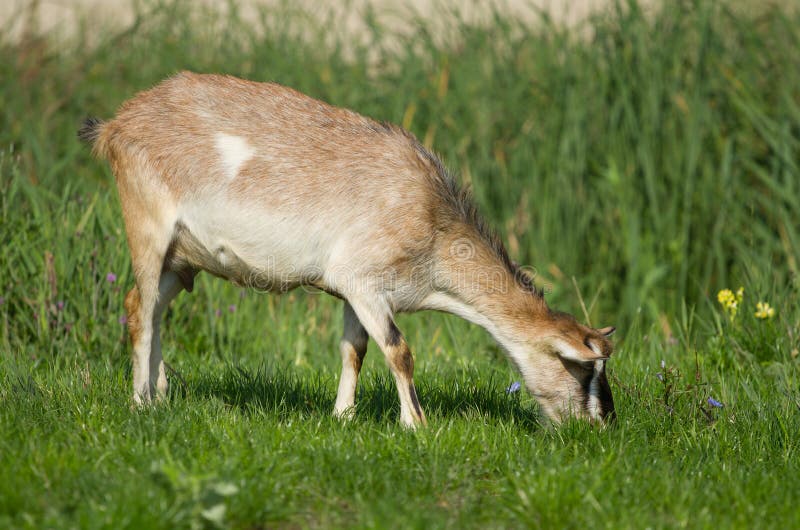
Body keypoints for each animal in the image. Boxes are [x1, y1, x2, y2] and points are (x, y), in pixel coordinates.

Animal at [79, 71, 616, 427]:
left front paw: (342, 417)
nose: (602, 424)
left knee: (152, 308)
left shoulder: (353, 292)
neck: (432, 221)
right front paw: (416, 425)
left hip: (181, 259)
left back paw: (161, 395)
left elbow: (354, 349)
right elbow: (400, 351)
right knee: (139, 307)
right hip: (148, 224)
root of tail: (116, 125)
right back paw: (140, 403)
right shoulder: (364, 281)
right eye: (581, 367)